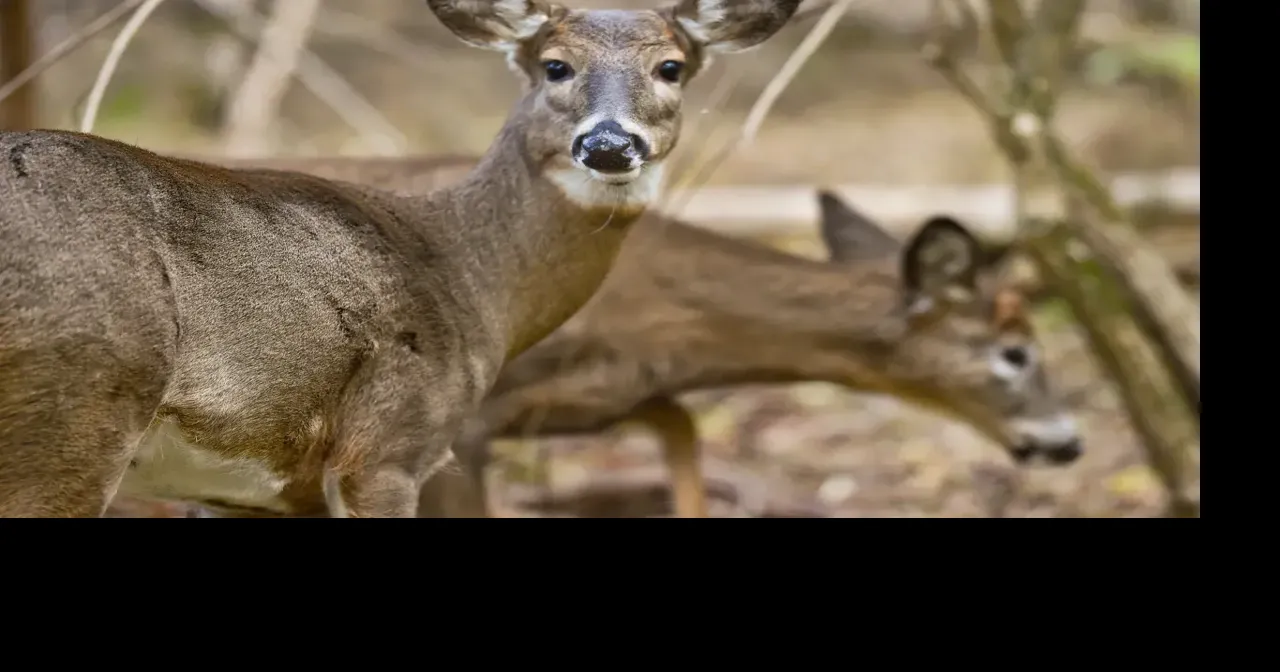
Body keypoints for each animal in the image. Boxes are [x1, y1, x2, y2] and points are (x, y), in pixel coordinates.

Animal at [0, 0, 802, 518]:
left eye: (672, 67)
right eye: (555, 65)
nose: (608, 143)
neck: (469, 277)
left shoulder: (254, 492)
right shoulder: (389, 446)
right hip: (77, 408)